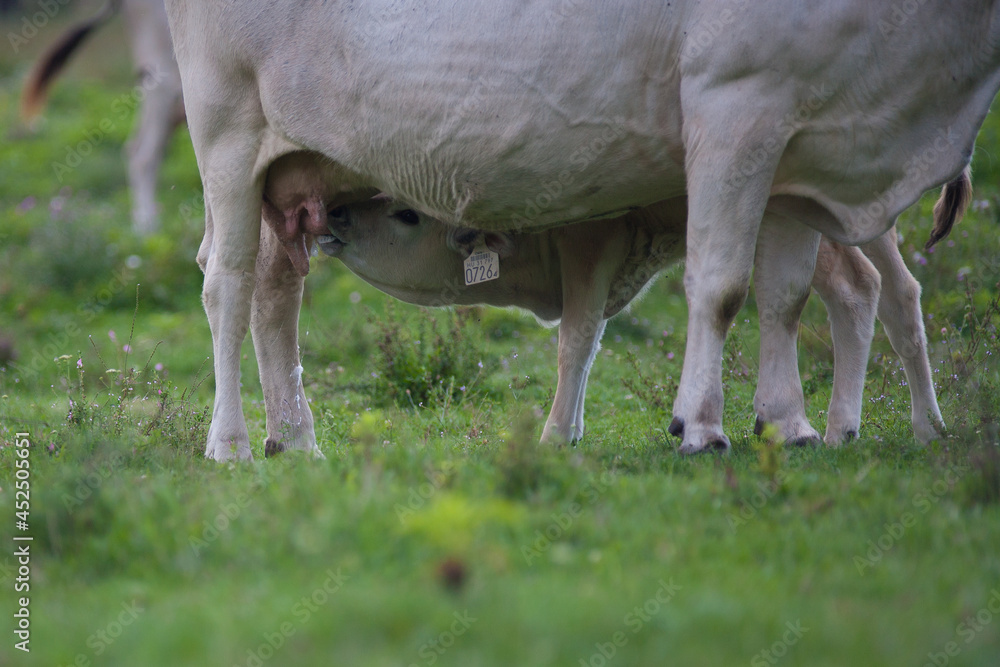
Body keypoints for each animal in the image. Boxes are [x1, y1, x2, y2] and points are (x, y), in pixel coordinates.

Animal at [164, 0, 998, 460]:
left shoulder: (795, 152)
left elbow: (784, 296)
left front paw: (788, 423)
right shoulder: (737, 107)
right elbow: (719, 287)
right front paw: (701, 425)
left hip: (290, 176)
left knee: (276, 295)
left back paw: (295, 438)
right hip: (230, 134)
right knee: (227, 287)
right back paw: (230, 442)